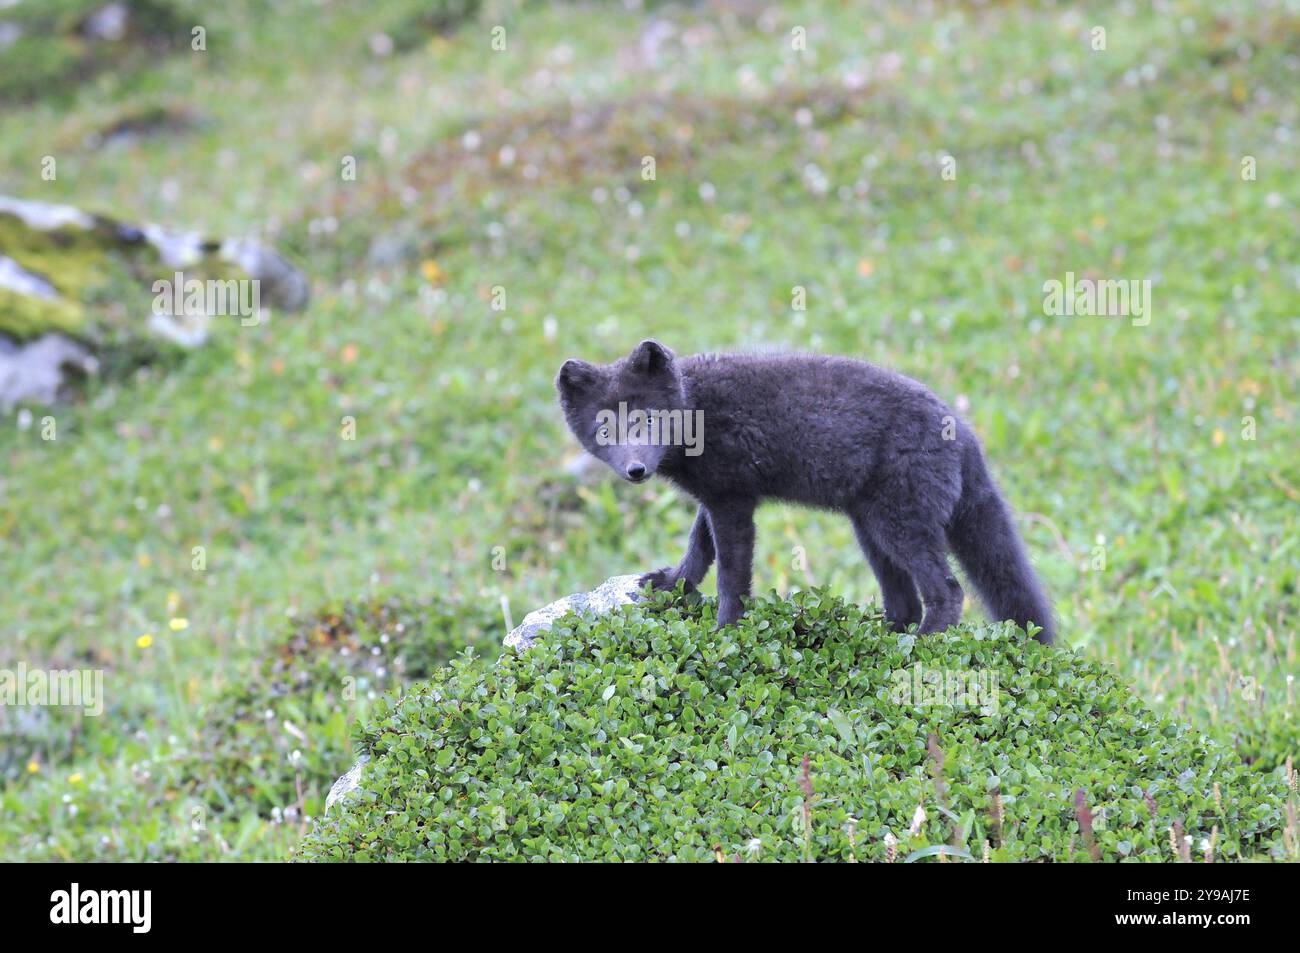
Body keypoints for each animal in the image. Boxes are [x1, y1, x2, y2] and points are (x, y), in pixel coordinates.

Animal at [555, 340, 1055, 644]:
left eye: (649, 419)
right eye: (606, 427)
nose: (636, 469)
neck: (697, 406)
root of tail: (964, 432)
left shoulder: (733, 502)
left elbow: (731, 576)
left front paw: (726, 632)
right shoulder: (716, 497)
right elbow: (699, 548)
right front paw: (672, 583)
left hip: (899, 525)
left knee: (948, 591)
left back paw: (923, 643)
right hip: (871, 530)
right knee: (905, 602)